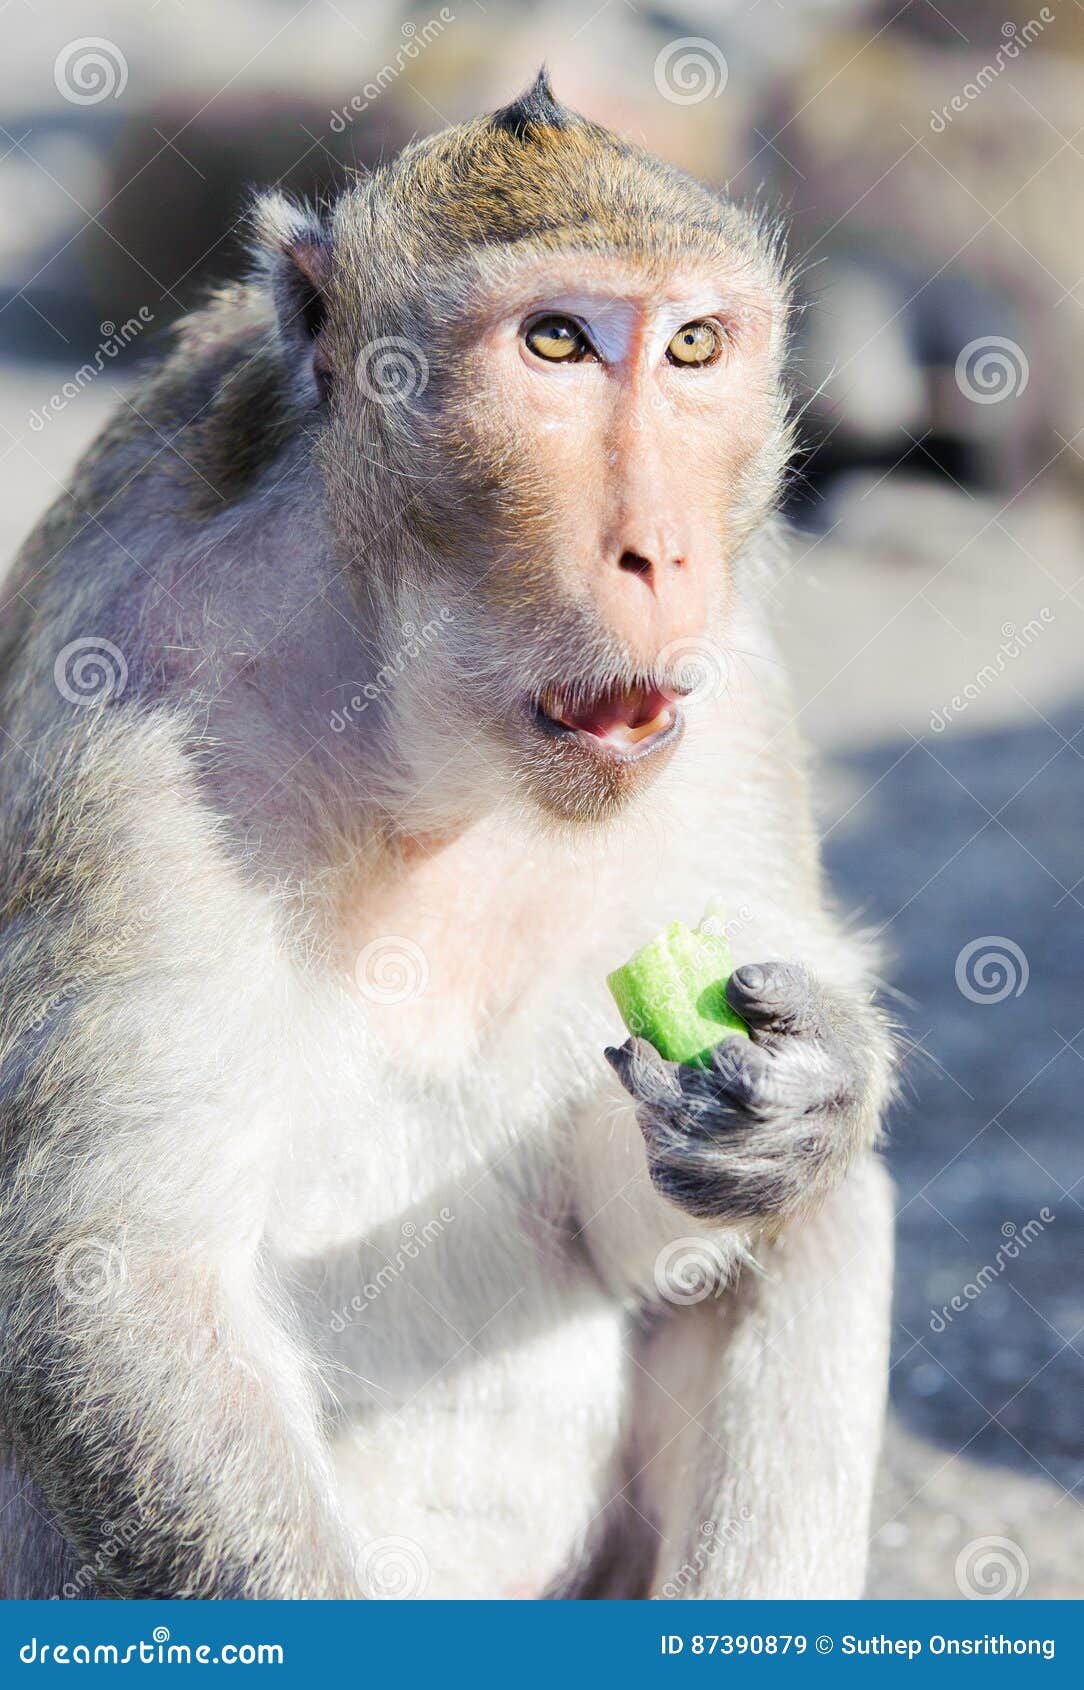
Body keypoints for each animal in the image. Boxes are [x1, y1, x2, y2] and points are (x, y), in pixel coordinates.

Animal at [0, 71, 895, 1601]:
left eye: (696, 346)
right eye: (556, 342)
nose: (663, 552)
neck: (425, 724)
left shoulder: (739, 703)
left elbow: (663, 1216)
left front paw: (802, 1097)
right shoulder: (124, 691)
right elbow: (121, 1274)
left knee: (821, 1226)